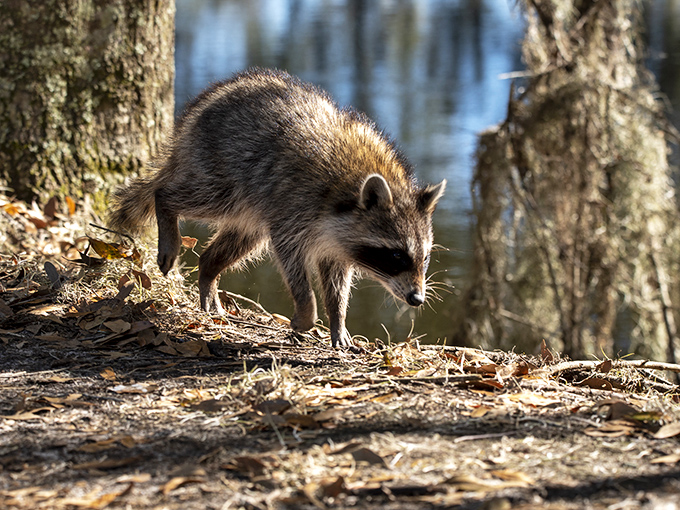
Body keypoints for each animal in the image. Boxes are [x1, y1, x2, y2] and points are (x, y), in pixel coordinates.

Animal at [110, 68, 446, 348]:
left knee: (238, 241)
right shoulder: (296, 208)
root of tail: (209, 98)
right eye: (396, 255)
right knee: (189, 194)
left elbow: (337, 281)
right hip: (223, 170)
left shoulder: (337, 241)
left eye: (425, 257)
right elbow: (291, 259)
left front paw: (338, 320)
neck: (353, 183)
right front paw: (307, 311)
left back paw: (208, 272)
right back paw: (166, 208)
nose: (417, 298)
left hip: (252, 210)